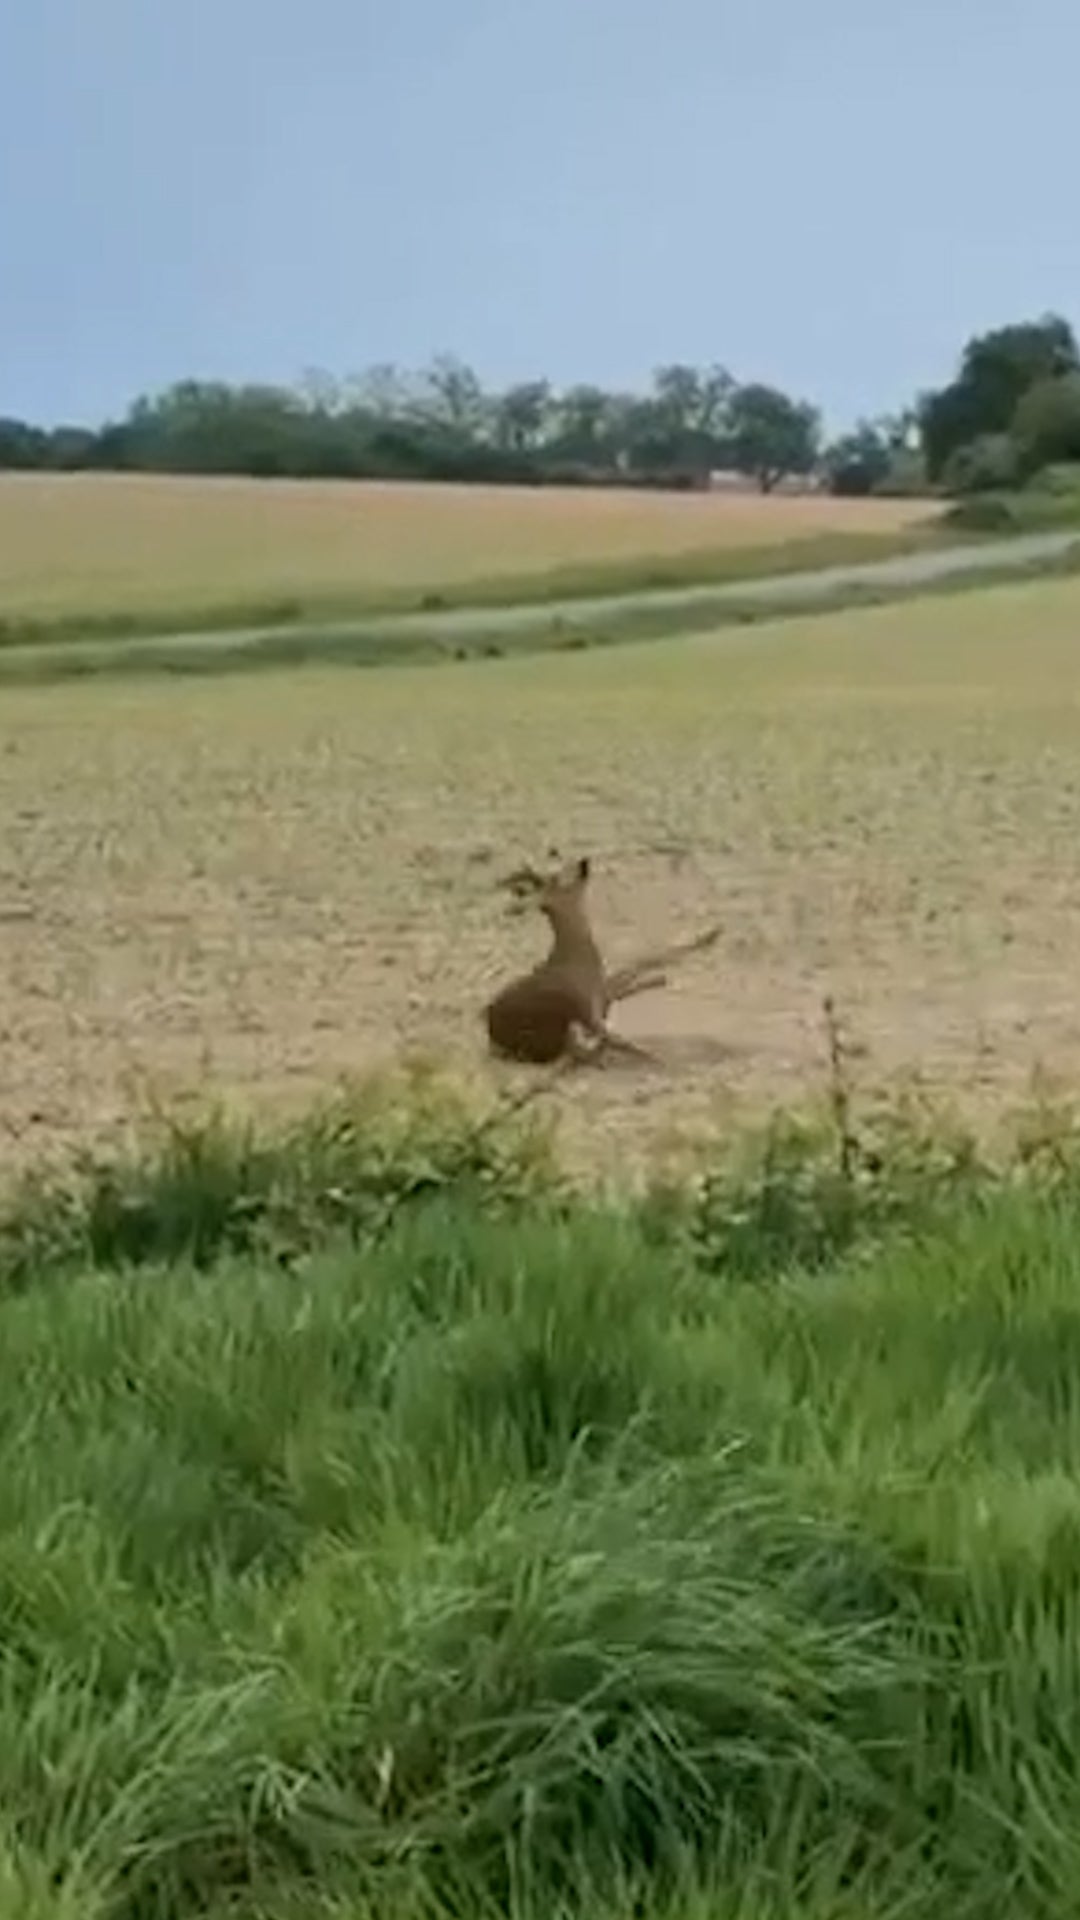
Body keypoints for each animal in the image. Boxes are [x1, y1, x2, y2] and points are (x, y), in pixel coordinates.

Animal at [484, 852, 719, 1067]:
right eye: (557, 879)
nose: (584, 863)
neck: (575, 958)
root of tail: (492, 1028)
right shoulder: (590, 1015)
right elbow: (629, 1044)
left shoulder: (601, 993)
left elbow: (642, 962)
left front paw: (711, 934)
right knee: (588, 1051)